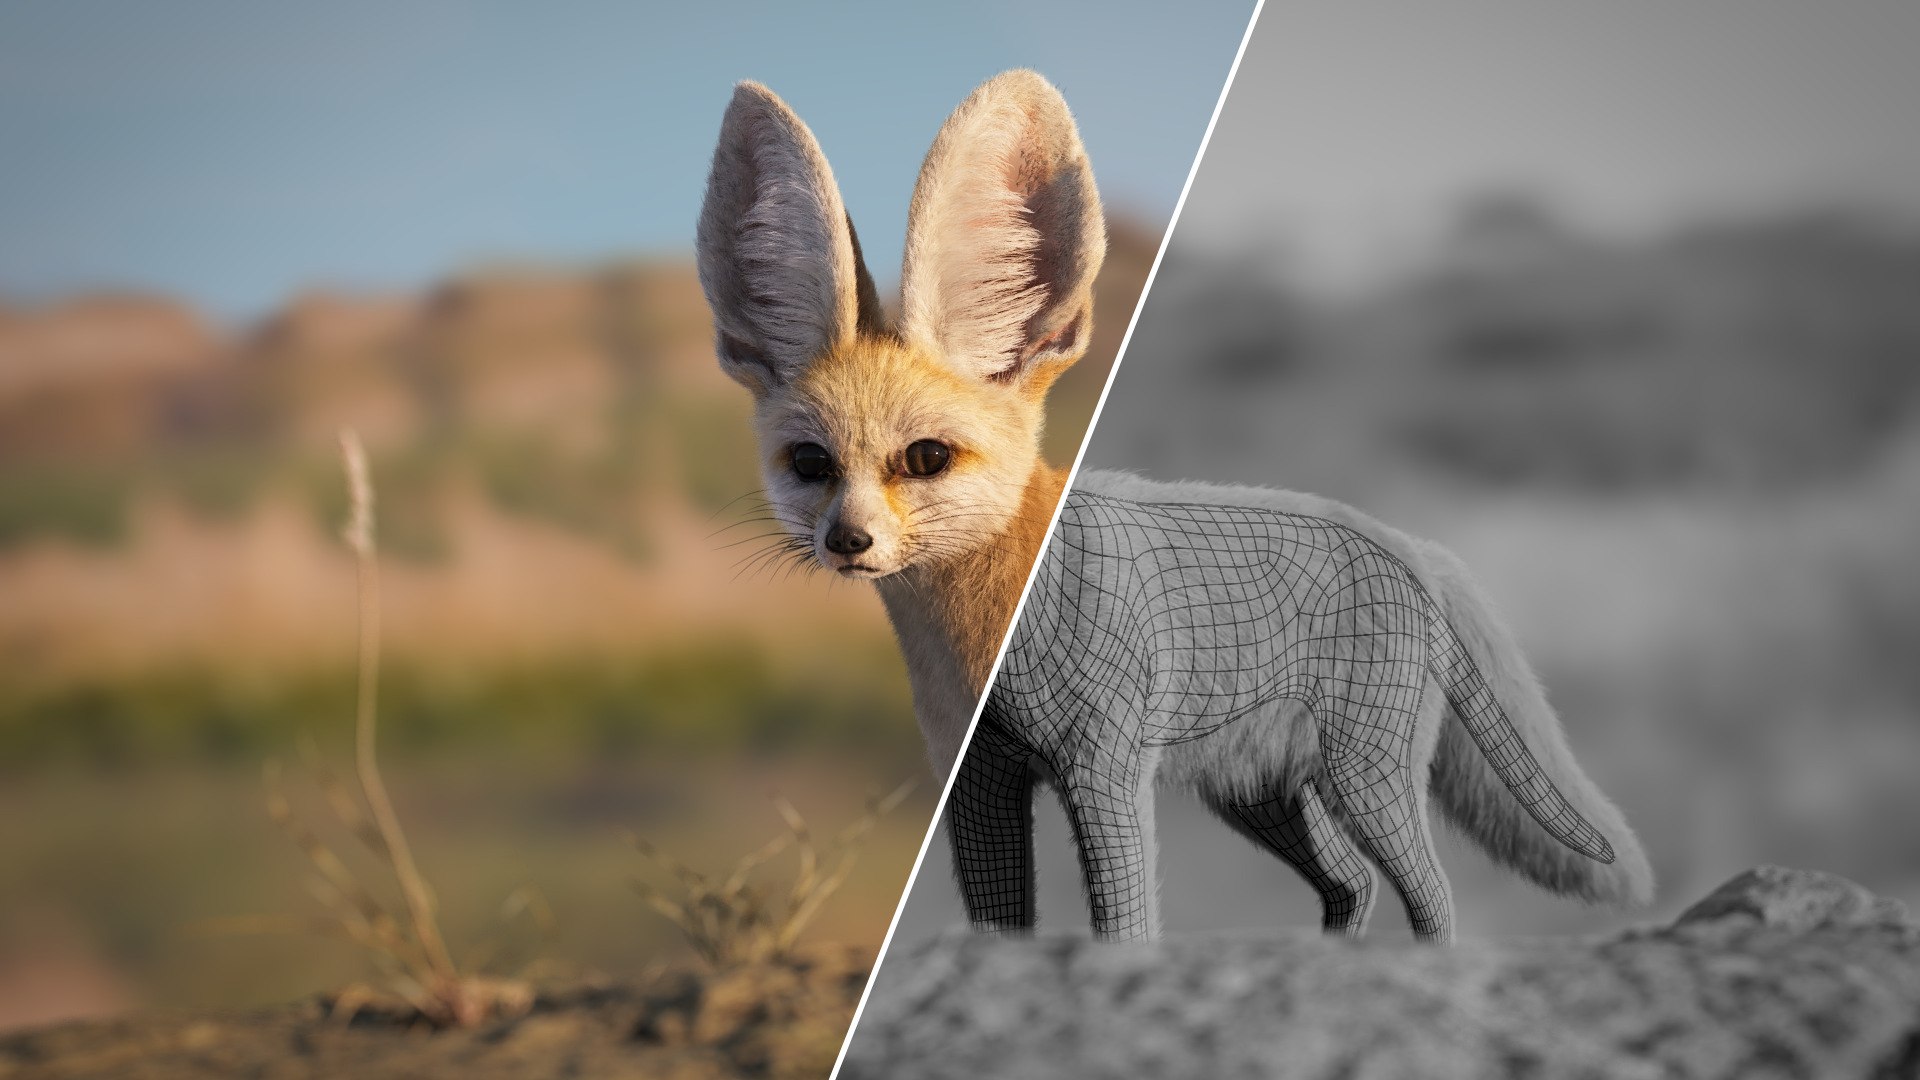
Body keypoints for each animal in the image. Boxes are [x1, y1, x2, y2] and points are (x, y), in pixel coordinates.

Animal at [954, 471, 1656, 944]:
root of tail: (1416, 551)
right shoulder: (983, 783)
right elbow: (996, 915)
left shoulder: (1100, 773)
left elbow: (1122, 917)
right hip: (1263, 793)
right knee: (1353, 882)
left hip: (1363, 773)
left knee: (1429, 891)